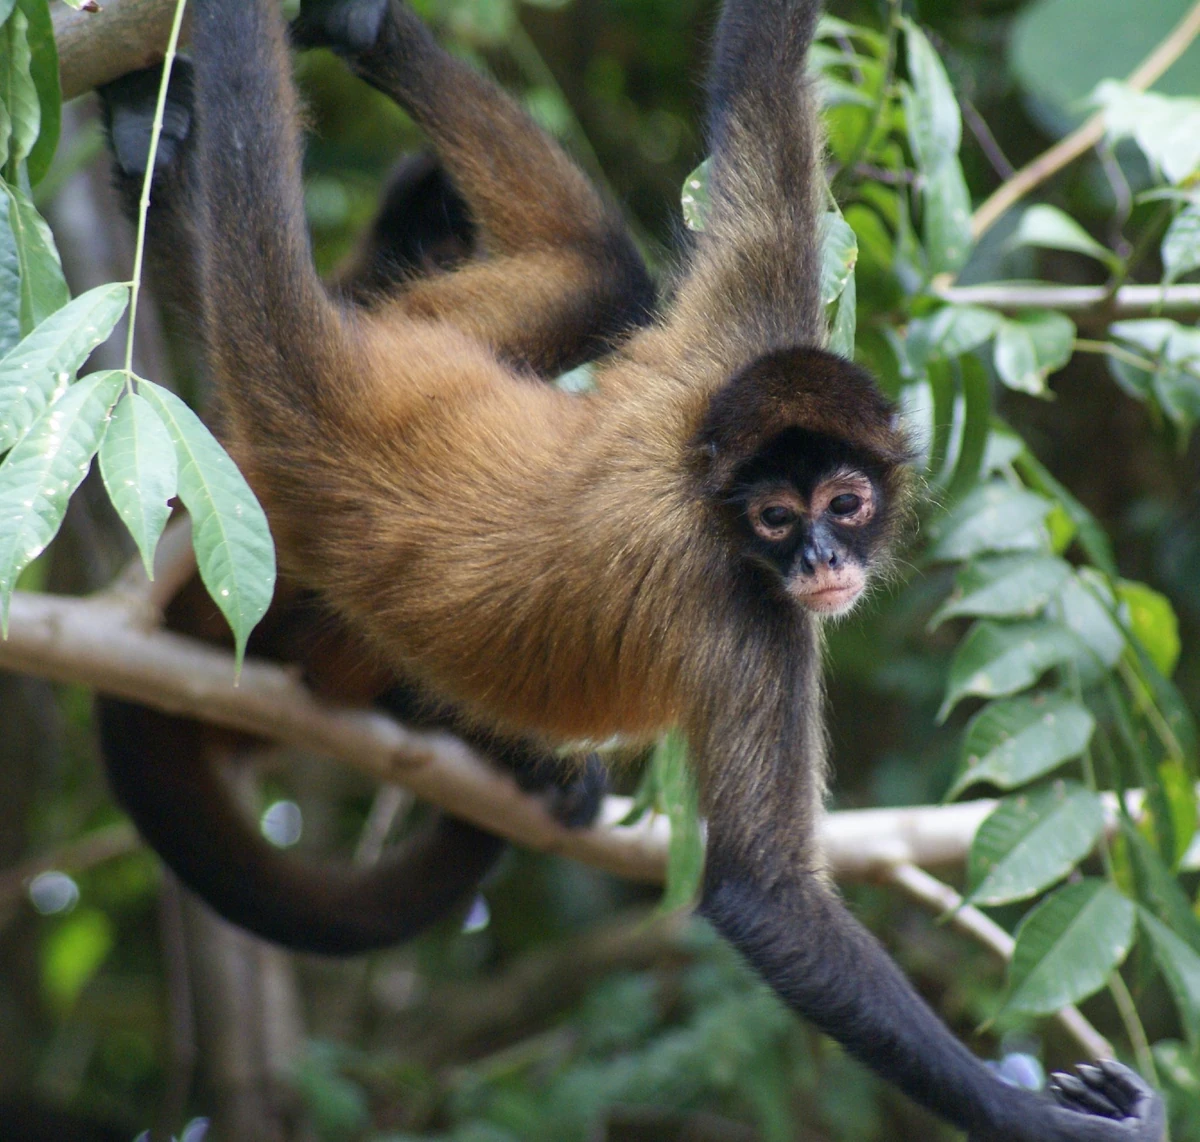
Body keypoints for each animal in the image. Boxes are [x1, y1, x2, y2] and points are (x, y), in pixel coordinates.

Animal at [96, 0, 1166, 1136]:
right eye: (779, 519)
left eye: (846, 501)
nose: (823, 555)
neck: (707, 493)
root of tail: (325, 416)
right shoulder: (747, 616)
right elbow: (764, 898)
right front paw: (1057, 1120)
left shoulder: (738, 337)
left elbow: (755, 87)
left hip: (422, 354)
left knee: (599, 268)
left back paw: (247, 101)